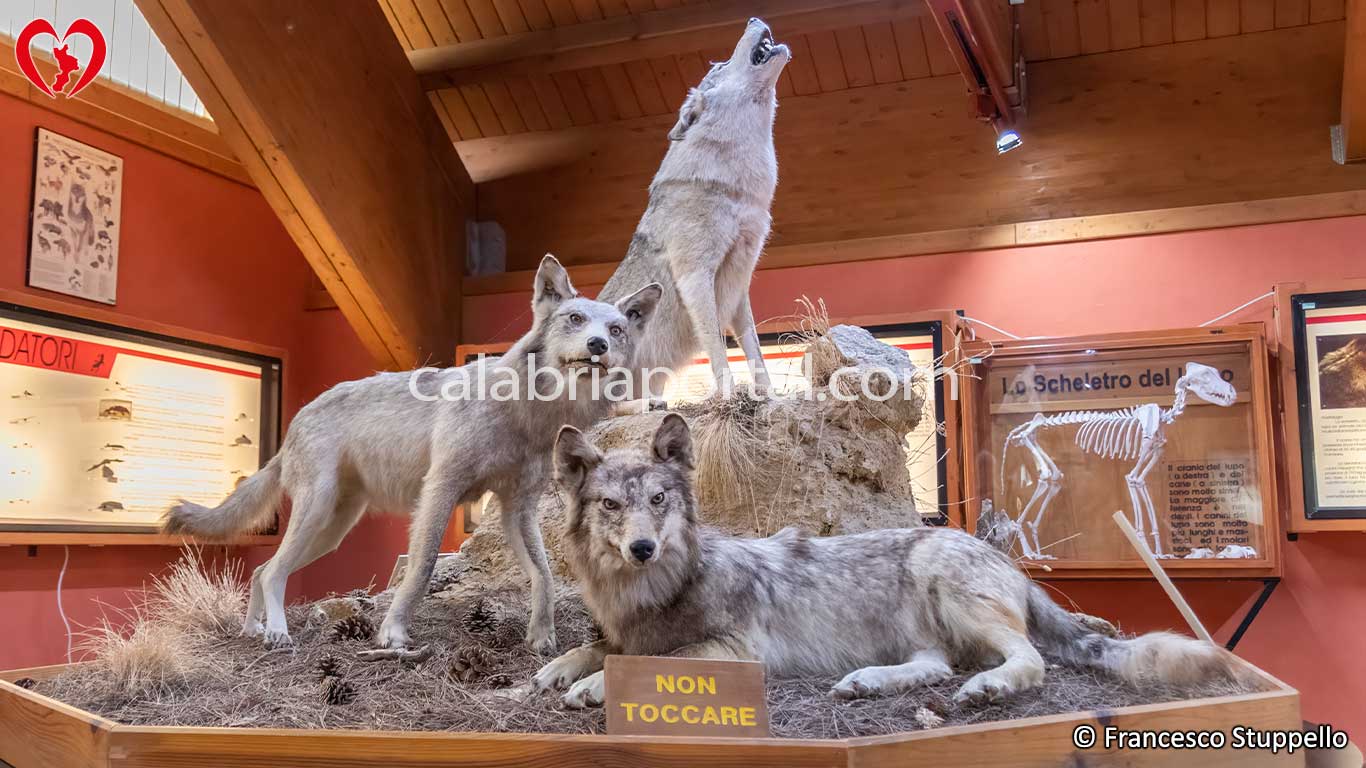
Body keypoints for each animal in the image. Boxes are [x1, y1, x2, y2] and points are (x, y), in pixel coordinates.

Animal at [164, 256, 662, 653]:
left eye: (616, 329)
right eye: (575, 318)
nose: (598, 345)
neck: (526, 414)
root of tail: (295, 422)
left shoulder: (517, 508)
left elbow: (545, 577)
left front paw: (541, 636)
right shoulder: (440, 489)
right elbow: (421, 568)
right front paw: (393, 634)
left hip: (329, 532)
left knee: (263, 570)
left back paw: (254, 630)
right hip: (317, 516)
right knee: (271, 573)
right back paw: (278, 633)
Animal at [534, 414, 1259, 708]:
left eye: (658, 500)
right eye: (611, 506)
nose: (642, 547)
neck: (658, 585)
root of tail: (1002, 558)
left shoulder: (738, 651)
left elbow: (657, 660)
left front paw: (592, 687)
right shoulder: (626, 630)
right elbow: (601, 647)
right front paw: (557, 668)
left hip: (946, 584)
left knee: (1029, 660)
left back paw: (987, 688)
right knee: (935, 666)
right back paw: (867, 683)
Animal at [596, 18, 790, 399]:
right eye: (719, 66)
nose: (752, 19)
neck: (736, 189)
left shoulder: (739, 286)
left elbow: (754, 349)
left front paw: (771, 397)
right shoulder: (695, 276)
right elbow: (716, 345)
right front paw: (729, 395)